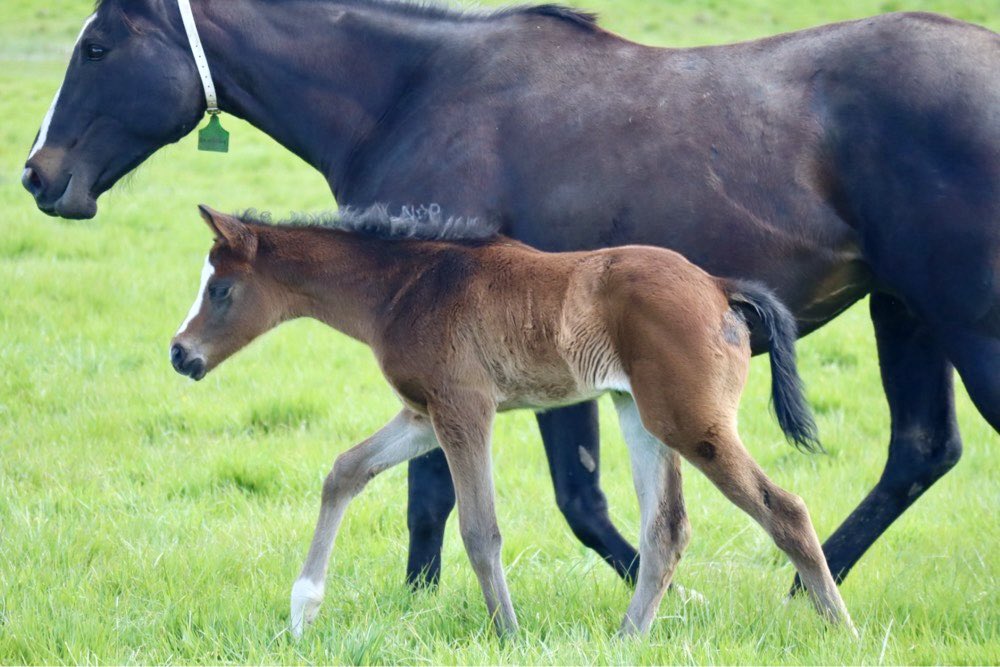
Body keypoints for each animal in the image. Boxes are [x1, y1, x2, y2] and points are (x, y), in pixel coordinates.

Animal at [22, 0, 1000, 593]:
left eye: (99, 46)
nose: (39, 174)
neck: (408, 96)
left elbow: (457, 493)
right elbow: (570, 497)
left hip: (963, 320)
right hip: (906, 311)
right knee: (920, 451)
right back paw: (801, 587)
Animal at [171, 203, 854, 637]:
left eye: (220, 291)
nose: (180, 354)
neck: (405, 286)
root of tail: (718, 286)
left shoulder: (464, 409)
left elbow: (479, 529)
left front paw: (509, 634)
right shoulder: (423, 413)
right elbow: (345, 470)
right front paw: (302, 611)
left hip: (690, 423)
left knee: (784, 510)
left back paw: (842, 632)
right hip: (640, 414)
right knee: (667, 530)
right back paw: (626, 641)